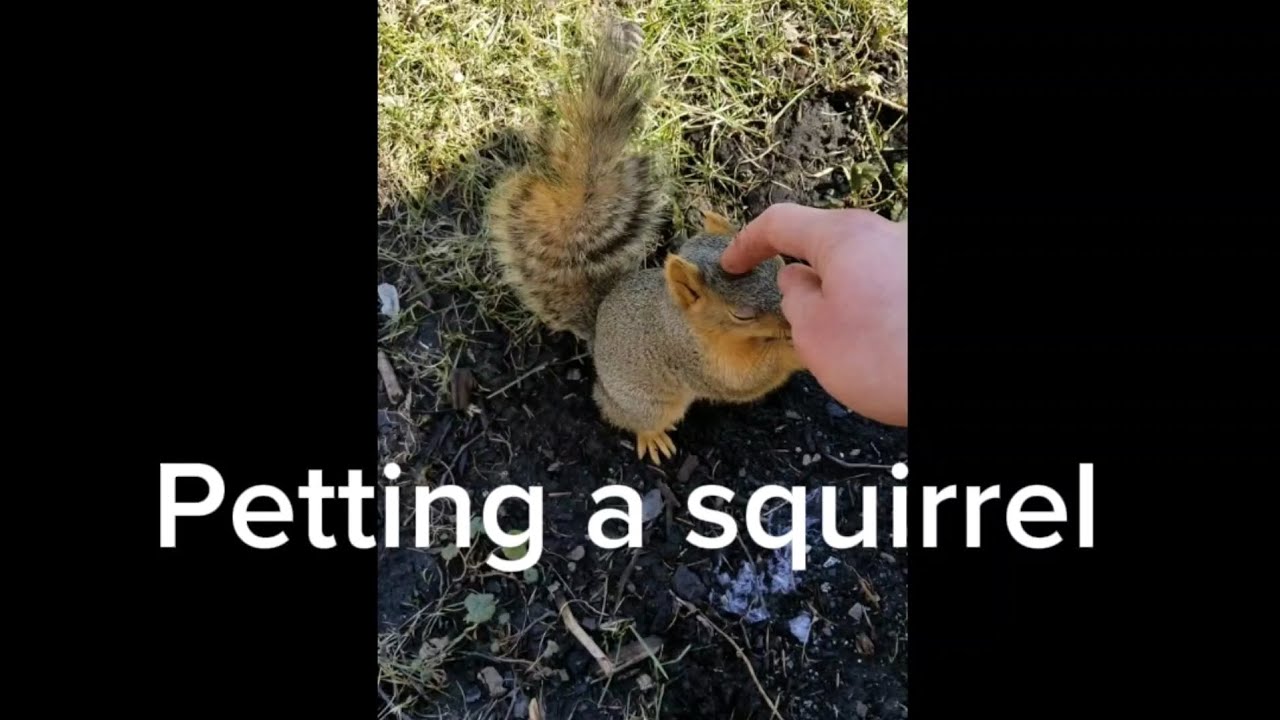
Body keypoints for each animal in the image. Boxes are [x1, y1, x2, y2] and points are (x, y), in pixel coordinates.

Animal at [485, 19, 806, 464]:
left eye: (778, 264)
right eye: (741, 315)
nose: (791, 321)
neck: (685, 321)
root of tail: (597, 333)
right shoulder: (697, 360)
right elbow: (746, 381)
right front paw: (795, 351)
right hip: (646, 402)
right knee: (622, 414)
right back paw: (651, 436)